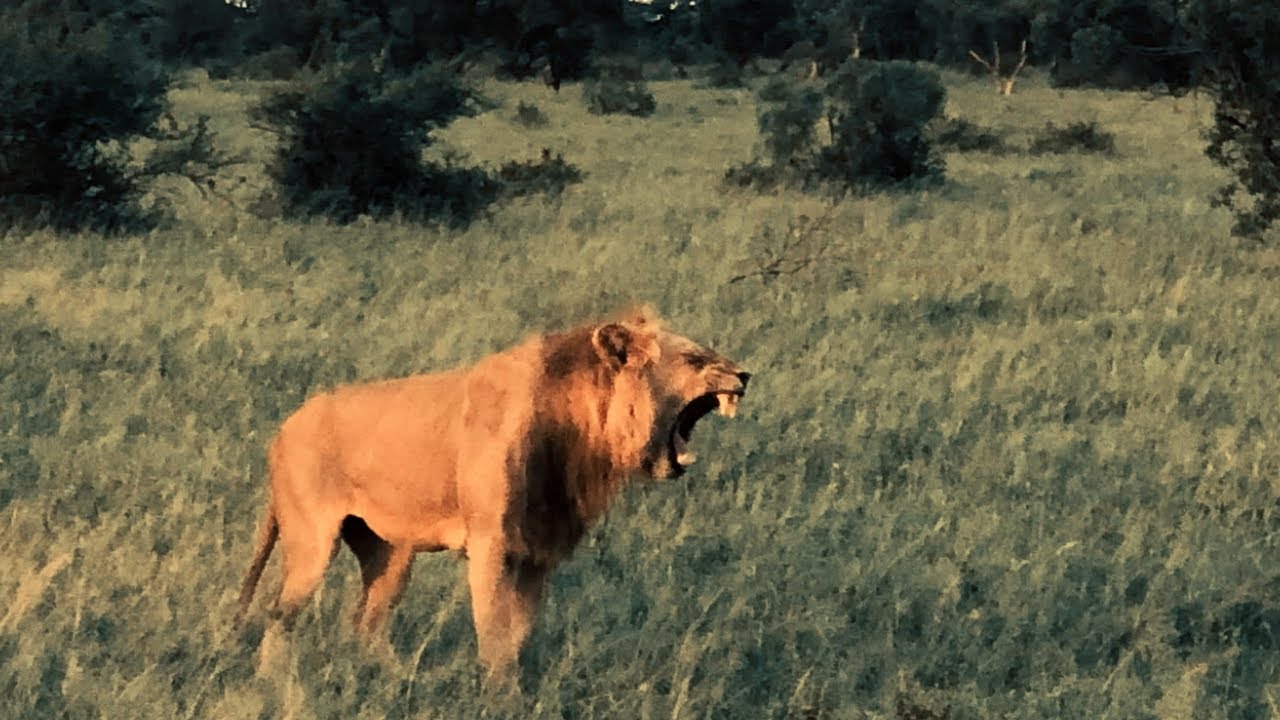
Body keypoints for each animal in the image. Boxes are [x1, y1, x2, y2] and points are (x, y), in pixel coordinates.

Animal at [236, 306, 750, 679]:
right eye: (697, 360)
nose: (745, 376)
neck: (580, 427)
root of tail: (284, 428)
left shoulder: (539, 549)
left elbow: (519, 636)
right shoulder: (490, 544)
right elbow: (495, 637)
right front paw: (499, 696)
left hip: (389, 552)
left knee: (365, 624)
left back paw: (399, 680)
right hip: (312, 541)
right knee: (279, 614)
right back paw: (276, 682)